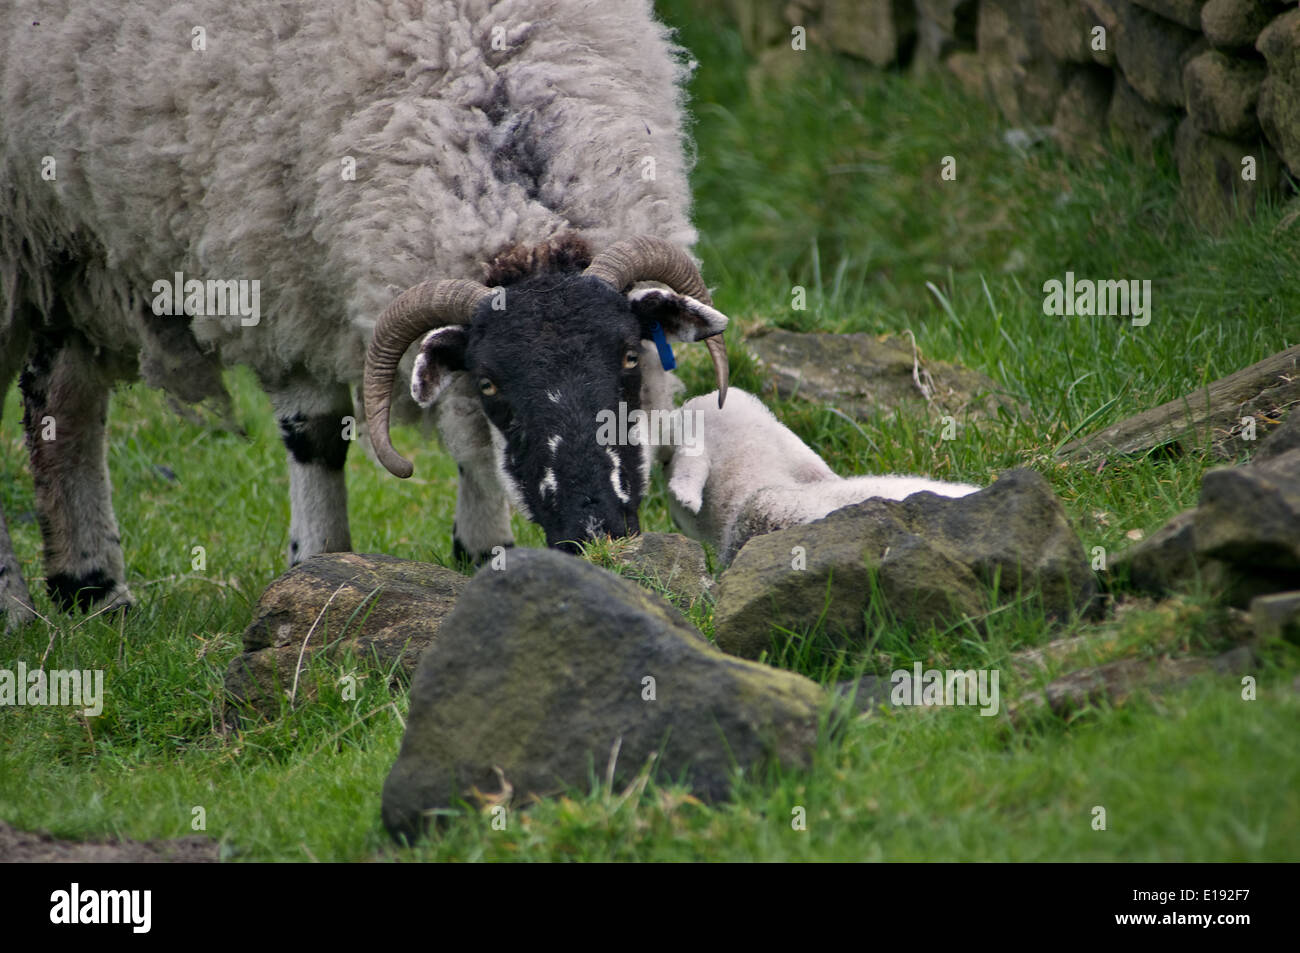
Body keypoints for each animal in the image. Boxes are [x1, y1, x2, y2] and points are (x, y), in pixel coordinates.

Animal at [0, 0, 729, 631]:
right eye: (491, 383)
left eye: (631, 356)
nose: (595, 533)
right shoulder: (282, 278)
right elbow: (316, 434)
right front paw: (320, 567)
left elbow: (472, 453)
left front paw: (484, 552)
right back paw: (21, 608)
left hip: (67, 247)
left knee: (62, 397)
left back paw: (93, 591)